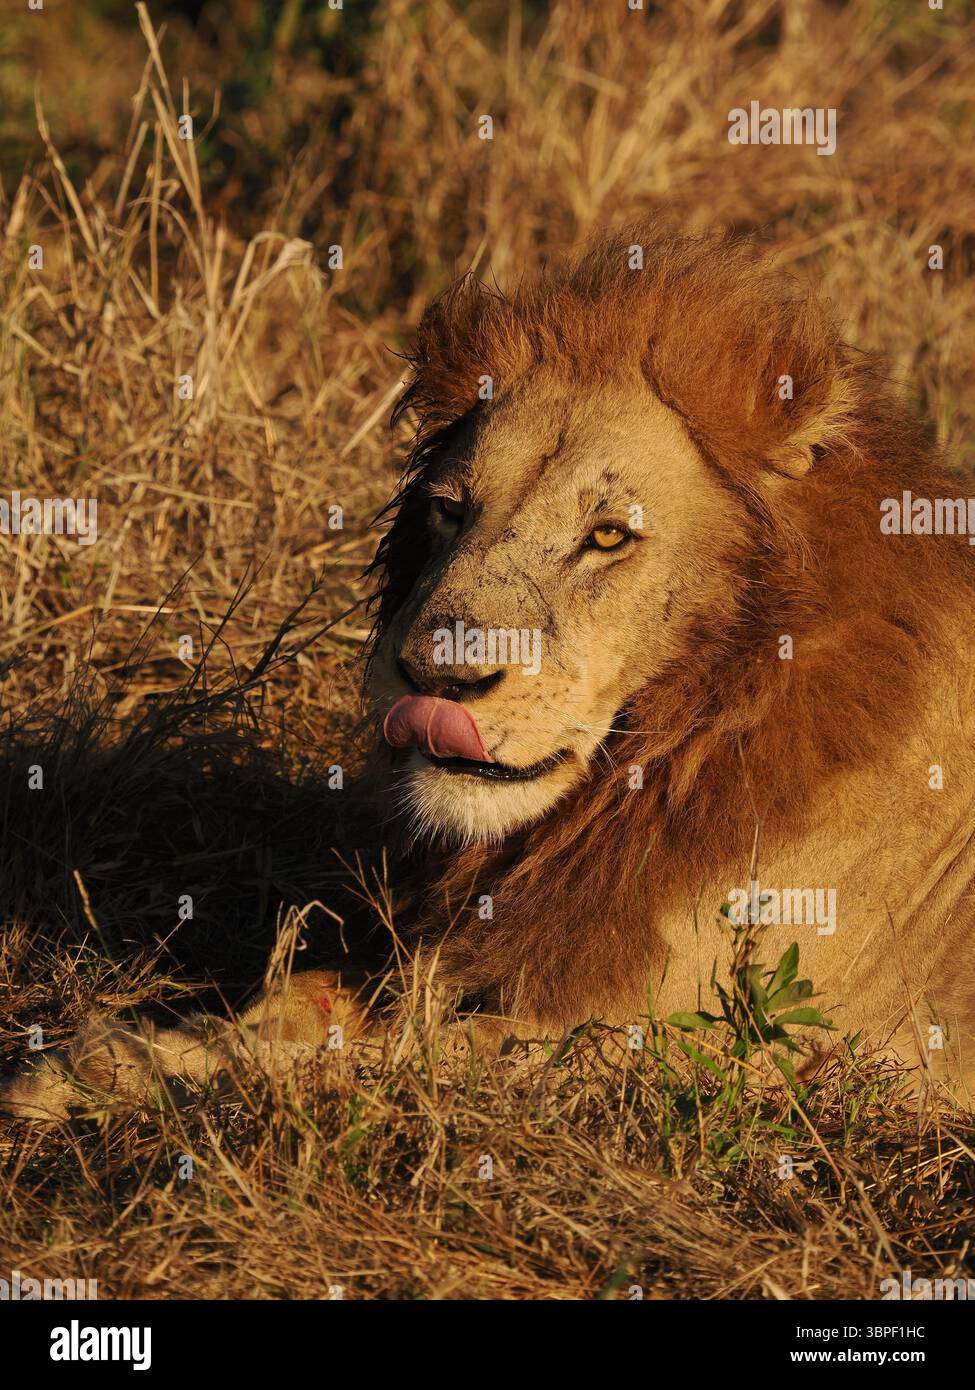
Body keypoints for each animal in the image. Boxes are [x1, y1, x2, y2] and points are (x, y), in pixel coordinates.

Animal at [5, 227, 975, 1119]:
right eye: (448, 509)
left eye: (608, 534)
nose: (435, 677)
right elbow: (310, 995)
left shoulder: (714, 1046)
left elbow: (392, 1060)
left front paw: (100, 1069)